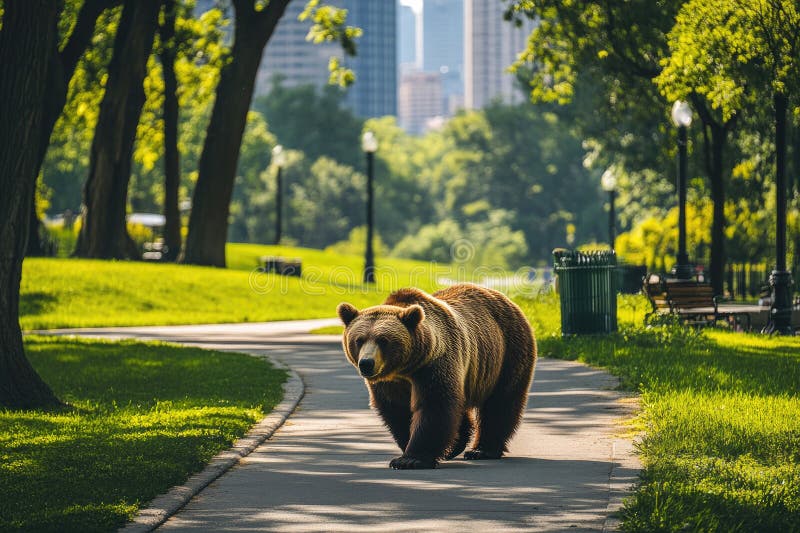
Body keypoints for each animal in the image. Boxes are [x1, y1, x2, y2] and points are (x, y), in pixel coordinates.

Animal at [337, 283, 537, 470]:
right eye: (359, 340)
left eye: (383, 340)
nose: (366, 363)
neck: (405, 368)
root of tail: (506, 299)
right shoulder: (390, 383)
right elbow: (397, 410)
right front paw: (413, 448)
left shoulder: (433, 365)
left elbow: (434, 405)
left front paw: (410, 459)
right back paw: (457, 445)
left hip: (507, 353)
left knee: (500, 402)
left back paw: (482, 450)